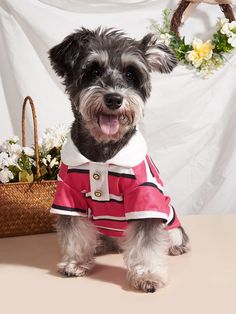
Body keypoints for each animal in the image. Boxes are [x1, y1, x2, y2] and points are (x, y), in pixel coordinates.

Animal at [48, 28, 190, 294]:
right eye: (93, 70)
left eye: (130, 74)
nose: (114, 99)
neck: (102, 154)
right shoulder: (68, 195)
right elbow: (75, 233)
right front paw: (76, 262)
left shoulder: (145, 198)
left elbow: (147, 243)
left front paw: (148, 275)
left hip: (170, 220)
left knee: (171, 236)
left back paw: (176, 245)